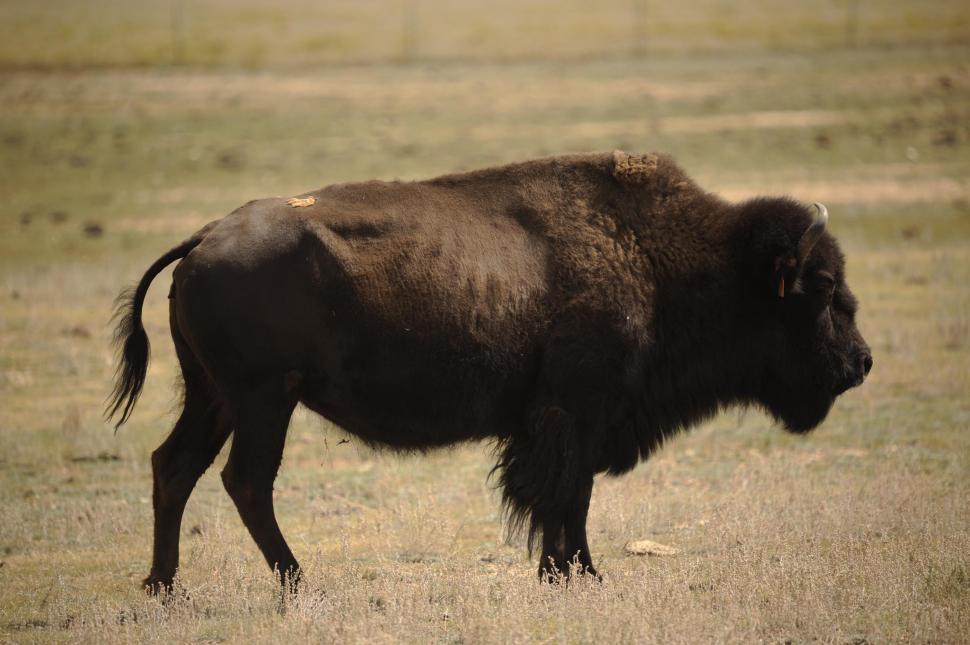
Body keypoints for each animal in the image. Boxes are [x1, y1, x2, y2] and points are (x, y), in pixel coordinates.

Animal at [107, 151, 871, 591]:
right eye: (821, 287)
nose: (861, 362)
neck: (657, 258)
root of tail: (203, 239)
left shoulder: (563, 423)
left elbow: (567, 499)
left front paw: (567, 573)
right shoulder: (574, 417)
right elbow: (568, 497)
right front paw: (579, 575)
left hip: (214, 398)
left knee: (174, 466)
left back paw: (163, 585)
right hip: (264, 401)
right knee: (245, 480)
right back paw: (299, 582)